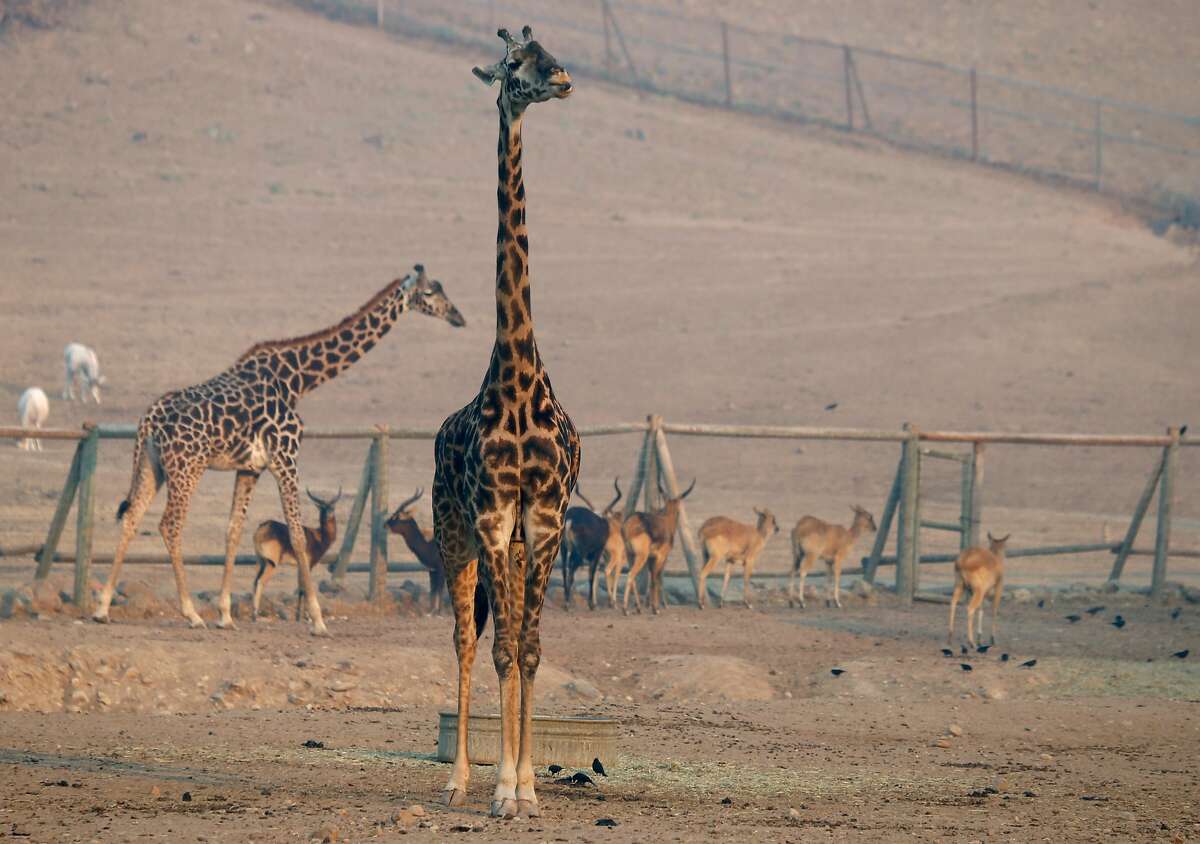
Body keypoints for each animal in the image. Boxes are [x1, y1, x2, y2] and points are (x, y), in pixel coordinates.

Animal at [91, 265, 465, 635]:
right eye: (429, 292)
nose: (458, 316)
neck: (298, 380)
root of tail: (149, 420)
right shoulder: (286, 457)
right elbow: (298, 535)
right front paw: (317, 619)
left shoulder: (250, 468)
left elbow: (233, 531)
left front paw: (226, 614)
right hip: (187, 468)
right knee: (170, 525)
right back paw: (190, 613)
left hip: (152, 465)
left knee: (132, 517)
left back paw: (104, 607)